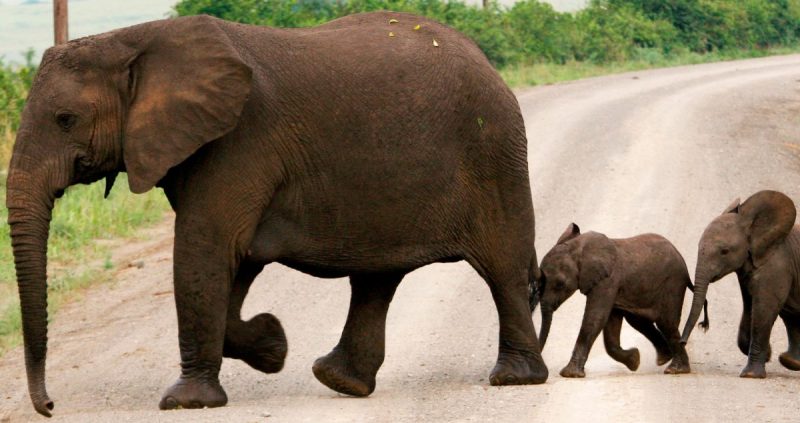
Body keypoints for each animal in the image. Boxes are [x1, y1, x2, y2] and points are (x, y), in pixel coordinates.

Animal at [6, 12, 547, 416]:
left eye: (66, 119)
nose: (49, 406)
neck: (136, 39)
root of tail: (488, 63)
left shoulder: (237, 142)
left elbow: (205, 249)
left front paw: (187, 402)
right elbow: (232, 262)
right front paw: (272, 345)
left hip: (493, 152)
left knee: (502, 268)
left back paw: (514, 378)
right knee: (377, 280)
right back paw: (340, 380)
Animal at [531, 223, 708, 377]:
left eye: (560, 284)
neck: (579, 247)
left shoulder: (608, 280)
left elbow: (595, 318)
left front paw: (570, 374)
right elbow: (610, 326)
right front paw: (634, 361)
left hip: (673, 284)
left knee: (667, 323)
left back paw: (676, 369)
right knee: (638, 321)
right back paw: (663, 358)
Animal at [681, 190, 800, 379]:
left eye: (724, 251)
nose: (682, 342)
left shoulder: (776, 266)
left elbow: (763, 310)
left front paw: (751, 375)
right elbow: (749, 309)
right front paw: (769, 354)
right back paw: (790, 362)